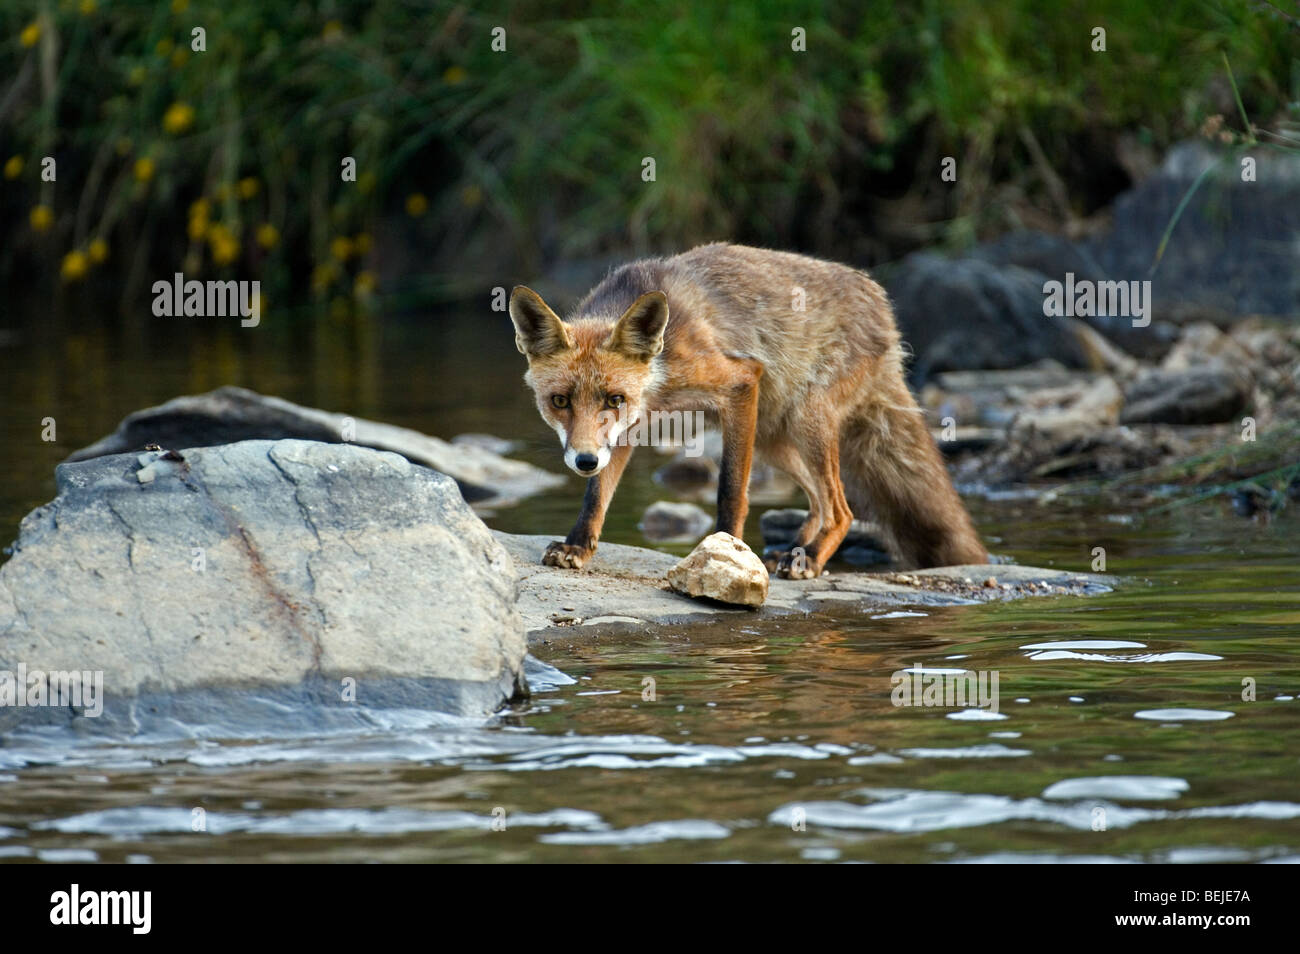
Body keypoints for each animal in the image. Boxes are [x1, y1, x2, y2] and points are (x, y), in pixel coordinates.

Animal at [508, 243, 987, 578]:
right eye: (560, 401)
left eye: (612, 399)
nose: (584, 460)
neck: (662, 373)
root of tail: (883, 304)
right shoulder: (629, 427)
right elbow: (597, 497)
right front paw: (578, 546)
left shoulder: (741, 383)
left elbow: (731, 491)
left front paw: (725, 551)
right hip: (776, 438)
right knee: (819, 502)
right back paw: (794, 549)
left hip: (805, 419)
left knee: (842, 509)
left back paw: (810, 558)